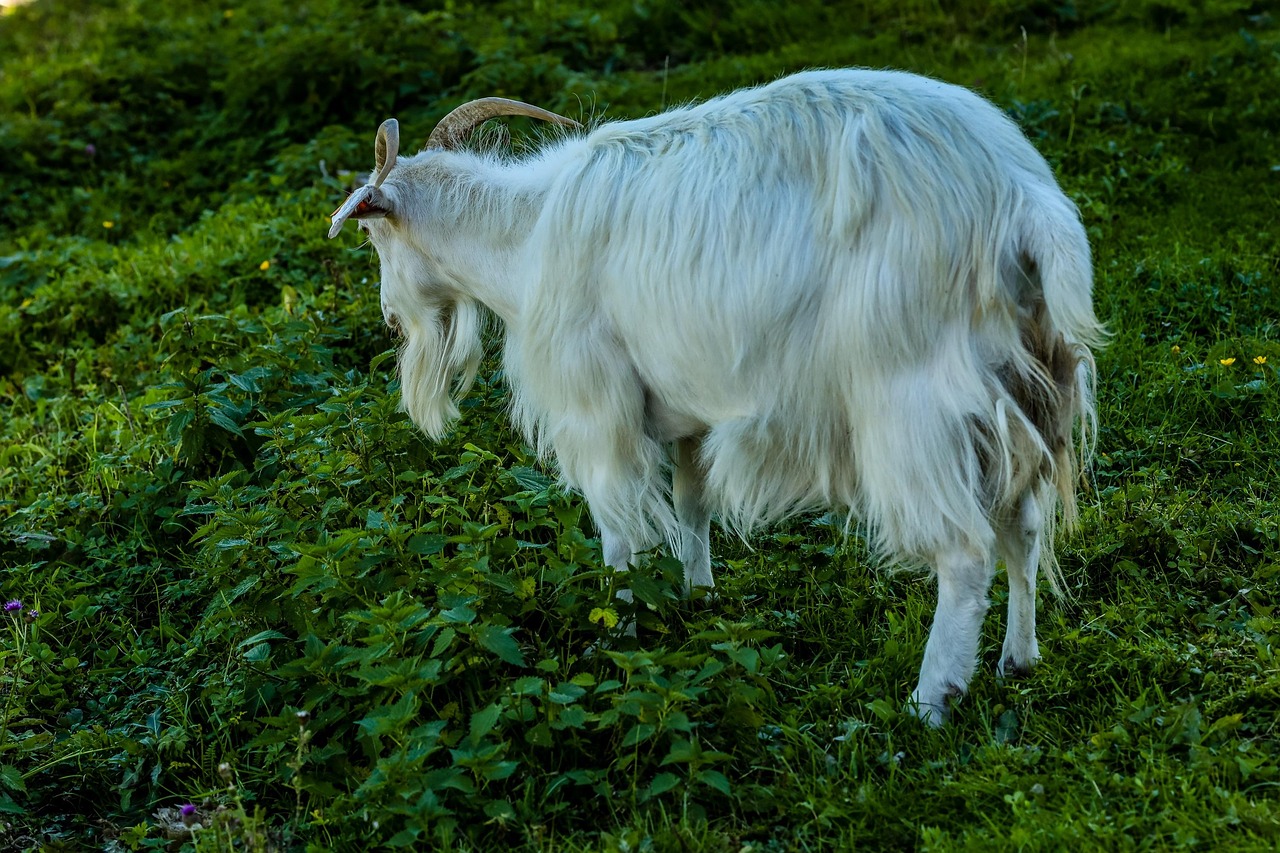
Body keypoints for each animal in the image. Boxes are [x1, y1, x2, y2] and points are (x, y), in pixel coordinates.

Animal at [327, 69, 1104, 725]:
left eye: (372, 235)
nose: (388, 317)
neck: (523, 240)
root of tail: (1022, 202)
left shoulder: (597, 406)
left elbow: (618, 529)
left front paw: (618, 634)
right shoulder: (686, 409)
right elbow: (692, 505)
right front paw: (697, 598)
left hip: (910, 400)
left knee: (966, 551)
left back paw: (930, 701)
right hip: (1019, 388)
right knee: (1023, 523)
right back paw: (1018, 660)